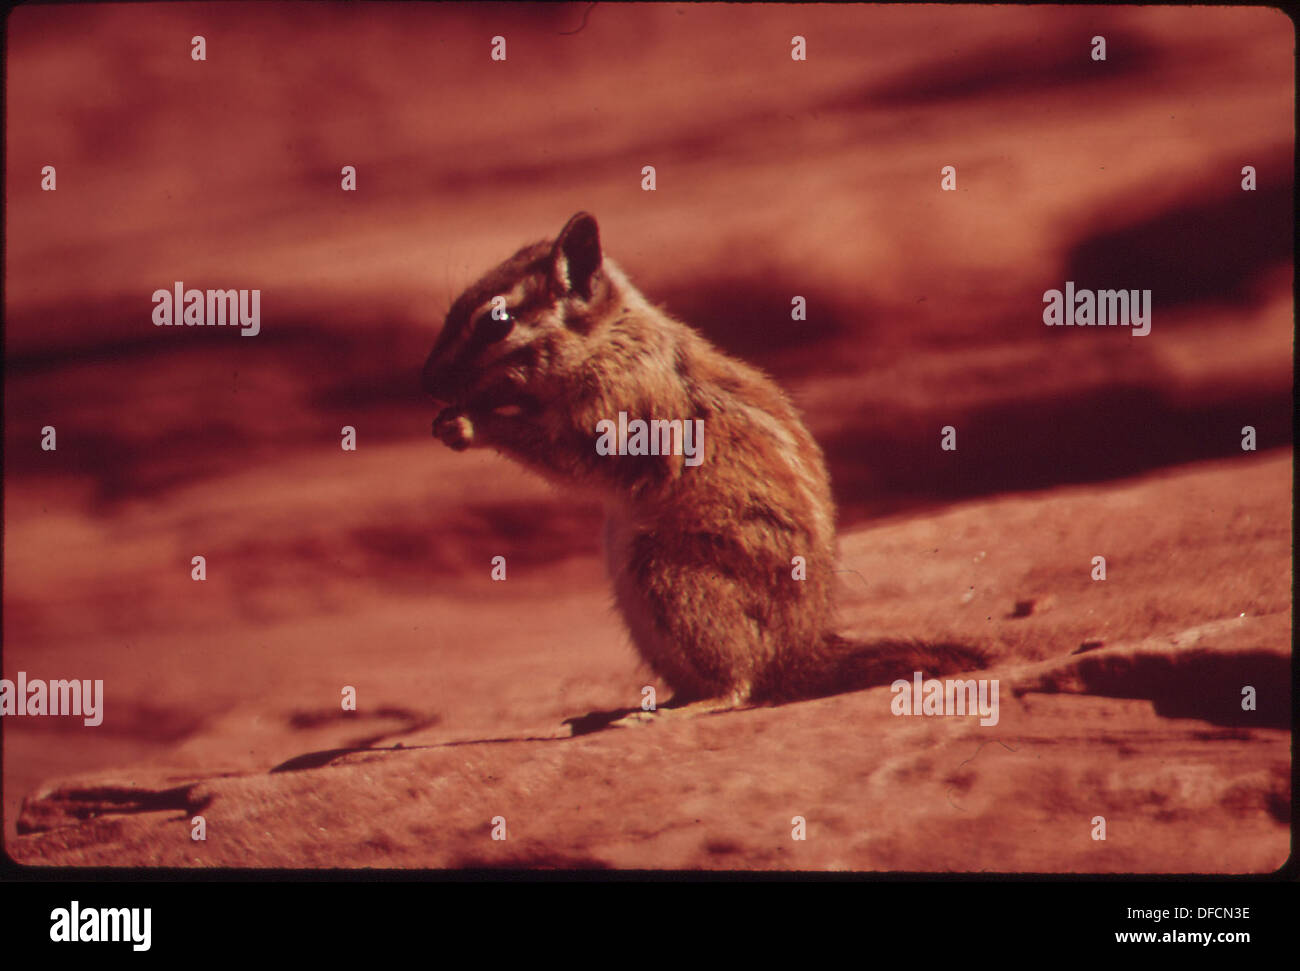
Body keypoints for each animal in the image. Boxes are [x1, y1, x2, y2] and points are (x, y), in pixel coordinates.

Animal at [421, 213, 984, 719]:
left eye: (496, 322)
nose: (426, 381)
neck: (609, 338)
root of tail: (800, 657)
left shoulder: (618, 424)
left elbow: (562, 453)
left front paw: (469, 424)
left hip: (667, 573)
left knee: (740, 688)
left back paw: (677, 710)